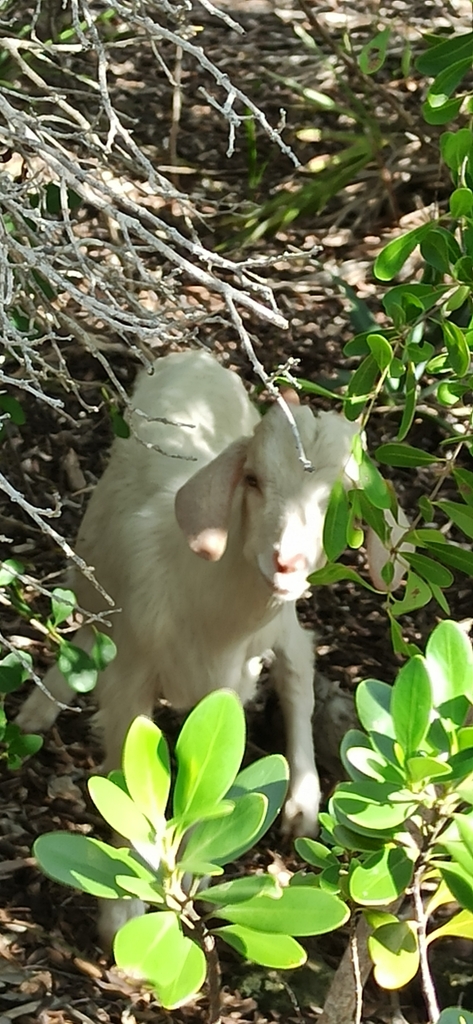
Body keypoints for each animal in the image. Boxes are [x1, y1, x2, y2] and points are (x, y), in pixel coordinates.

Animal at [17, 349, 406, 945]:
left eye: (343, 495)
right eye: (252, 479)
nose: (286, 562)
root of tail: (195, 356)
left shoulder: (236, 678)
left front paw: (197, 875)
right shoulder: (130, 677)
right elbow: (133, 780)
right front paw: (124, 911)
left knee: (297, 670)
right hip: (91, 556)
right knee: (87, 621)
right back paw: (39, 708)